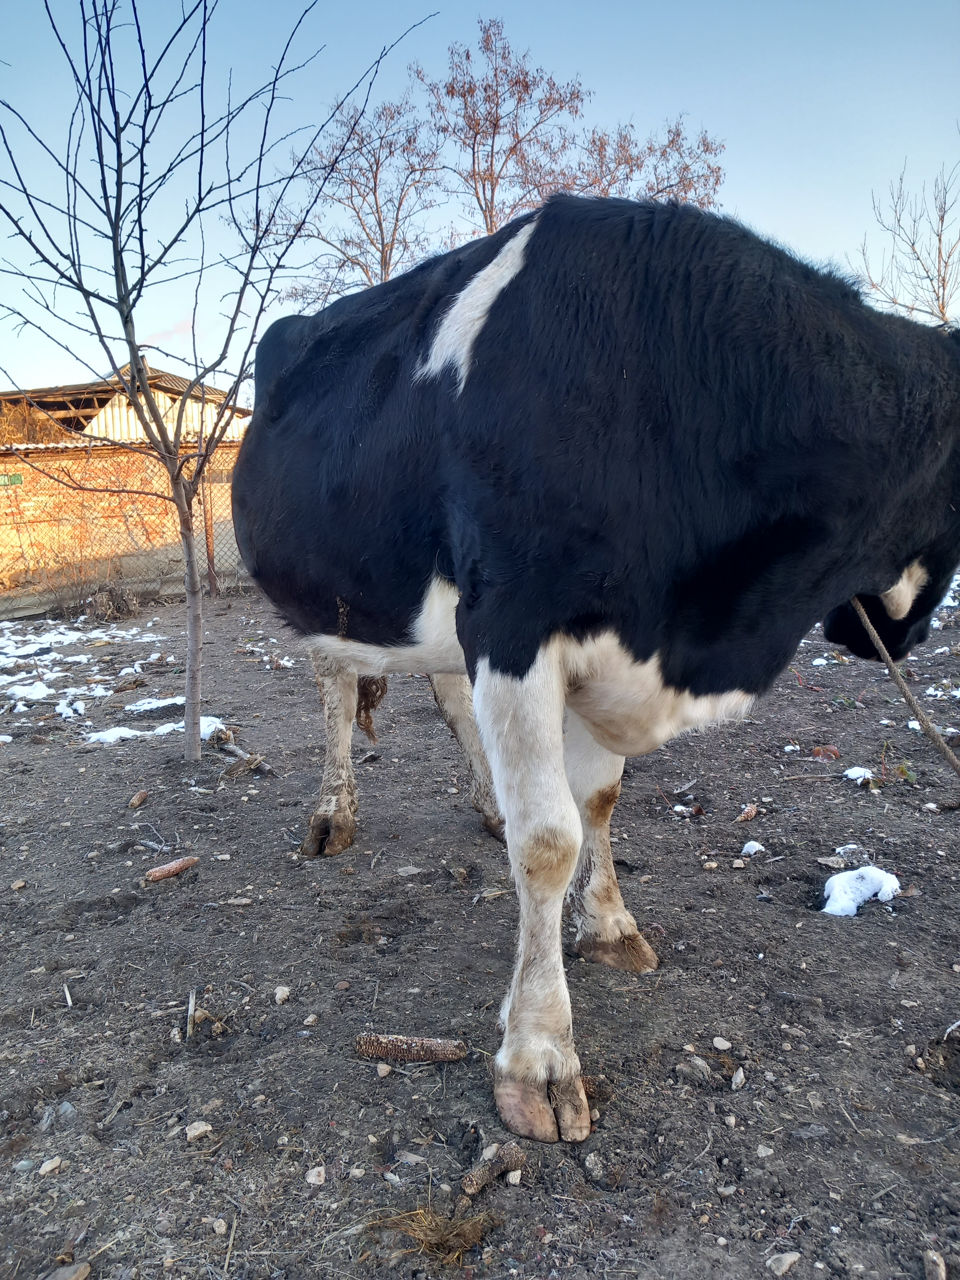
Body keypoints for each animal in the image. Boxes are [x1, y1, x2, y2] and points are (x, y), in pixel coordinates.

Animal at [232, 194, 960, 1143]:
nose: (901, 638)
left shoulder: (603, 642)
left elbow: (601, 802)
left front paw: (608, 924)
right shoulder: (514, 618)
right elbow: (550, 840)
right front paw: (539, 1056)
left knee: (445, 693)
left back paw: (485, 803)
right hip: (330, 592)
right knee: (336, 686)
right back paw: (333, 814)